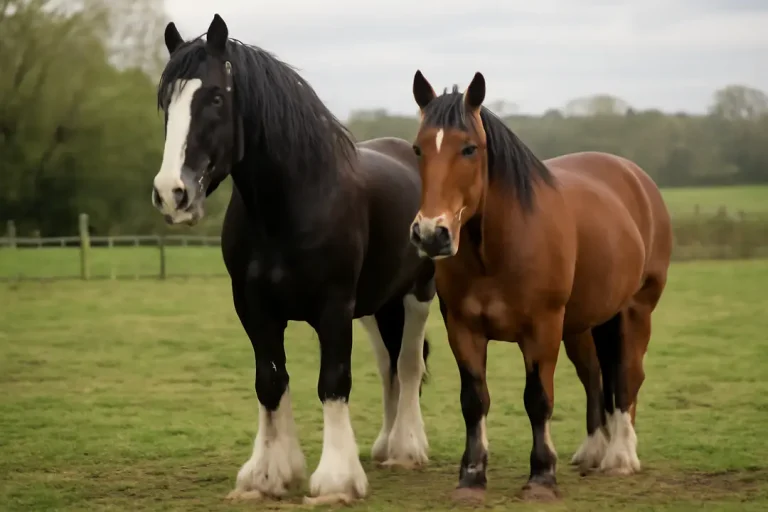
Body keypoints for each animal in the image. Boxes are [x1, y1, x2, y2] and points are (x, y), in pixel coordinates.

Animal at [150, 14, 436, 505]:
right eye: (164, 100)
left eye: (216, 97)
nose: (172, 194)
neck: (289, 205)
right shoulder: (253, 308)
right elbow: (270, 381)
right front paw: (269, 474)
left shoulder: (334, 307)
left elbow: (333, 382)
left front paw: (337, 479)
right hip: (378, 305)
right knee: (389, 367)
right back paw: (384, 445)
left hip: (418, 293)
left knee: (409, 364)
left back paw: (407, 448)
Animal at [408, 71, 672, 502]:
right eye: (418, 149)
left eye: (469, 149)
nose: (431, 234)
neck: (496, 249)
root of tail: (637, 178)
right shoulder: (463, 329)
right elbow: (474, 400)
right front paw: (472, 477)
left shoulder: (542, 330)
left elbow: (538, 399)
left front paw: (542, 477)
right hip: (584, 324)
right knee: (595, 376)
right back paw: (593, 451)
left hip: (635, 311)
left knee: (626, 376)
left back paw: (621, 456)